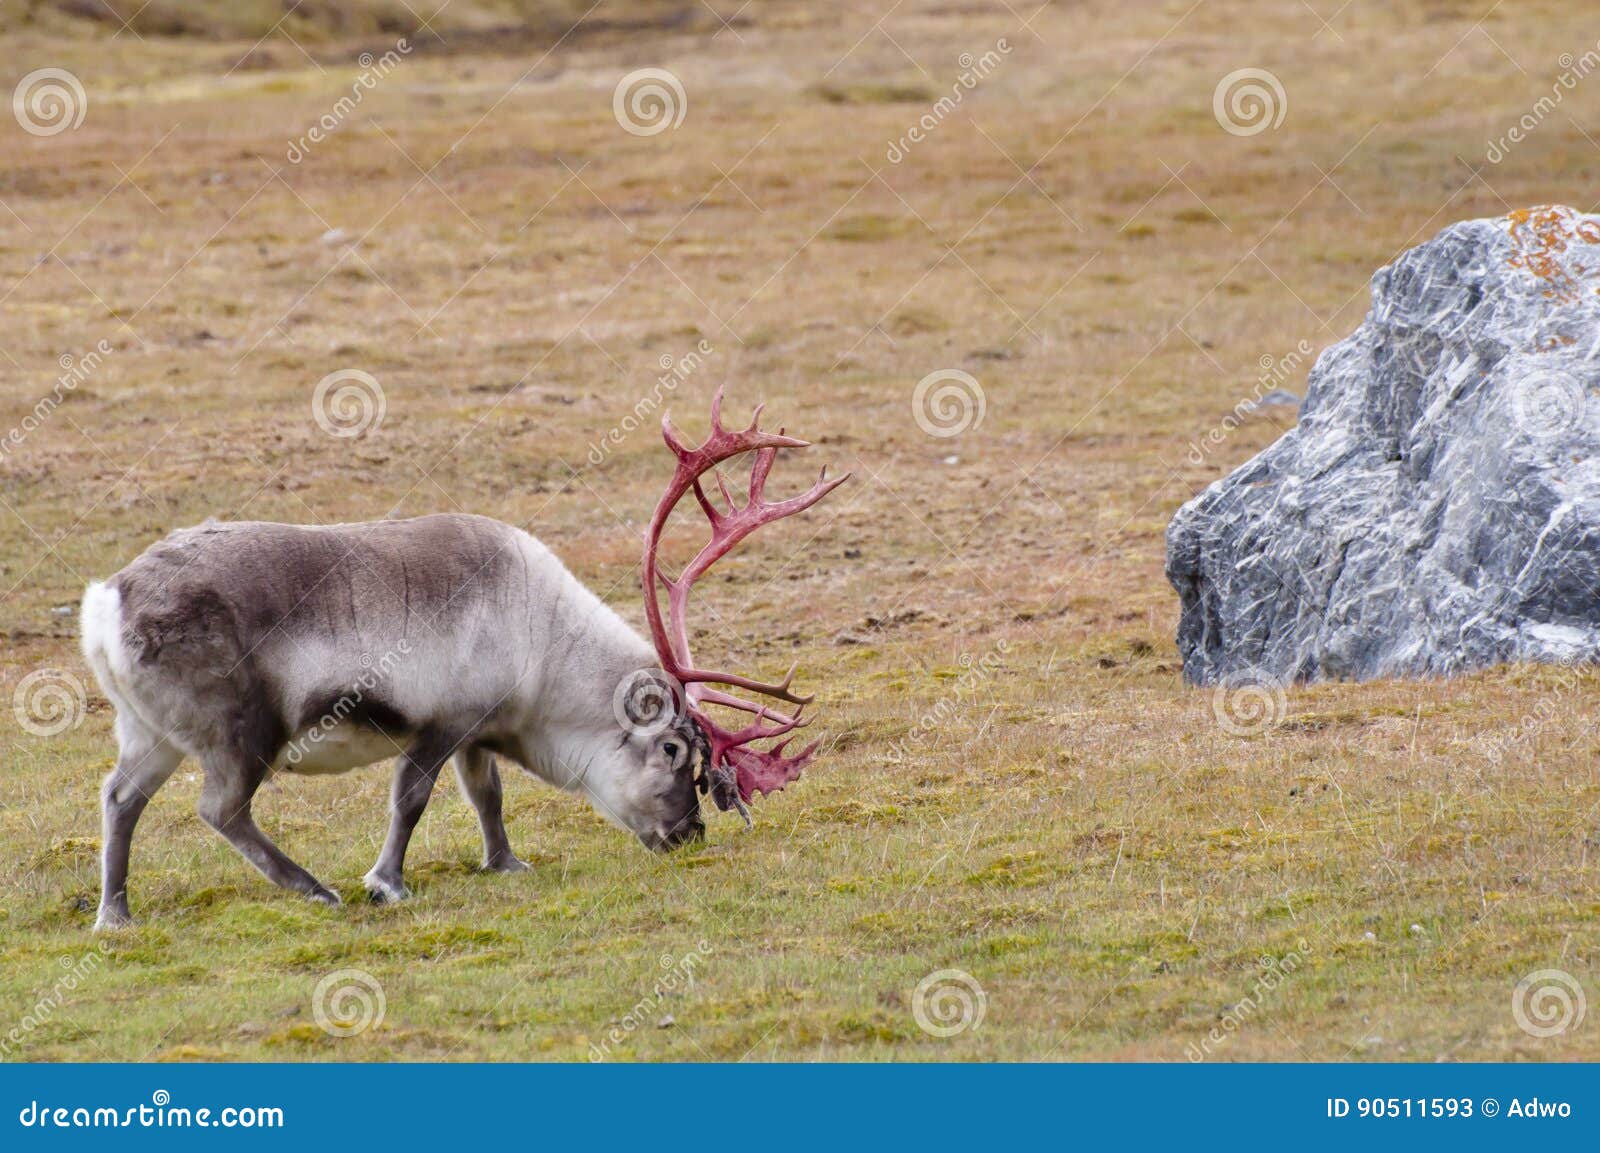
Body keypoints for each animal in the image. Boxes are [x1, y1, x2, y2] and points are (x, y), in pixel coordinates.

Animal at [78, 389, 847, 929]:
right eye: (670, 749)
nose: (689, 833)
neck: (542, 642)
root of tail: (105, 600)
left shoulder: (479, 729)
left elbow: (488, 796)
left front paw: (505, 863)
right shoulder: (441, 721)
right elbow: (411, 800)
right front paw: (386, 883)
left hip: (150, 732)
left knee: (120, 797)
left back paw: (115, 914)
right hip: (241, 732)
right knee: (220, 808)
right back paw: (315, 888)